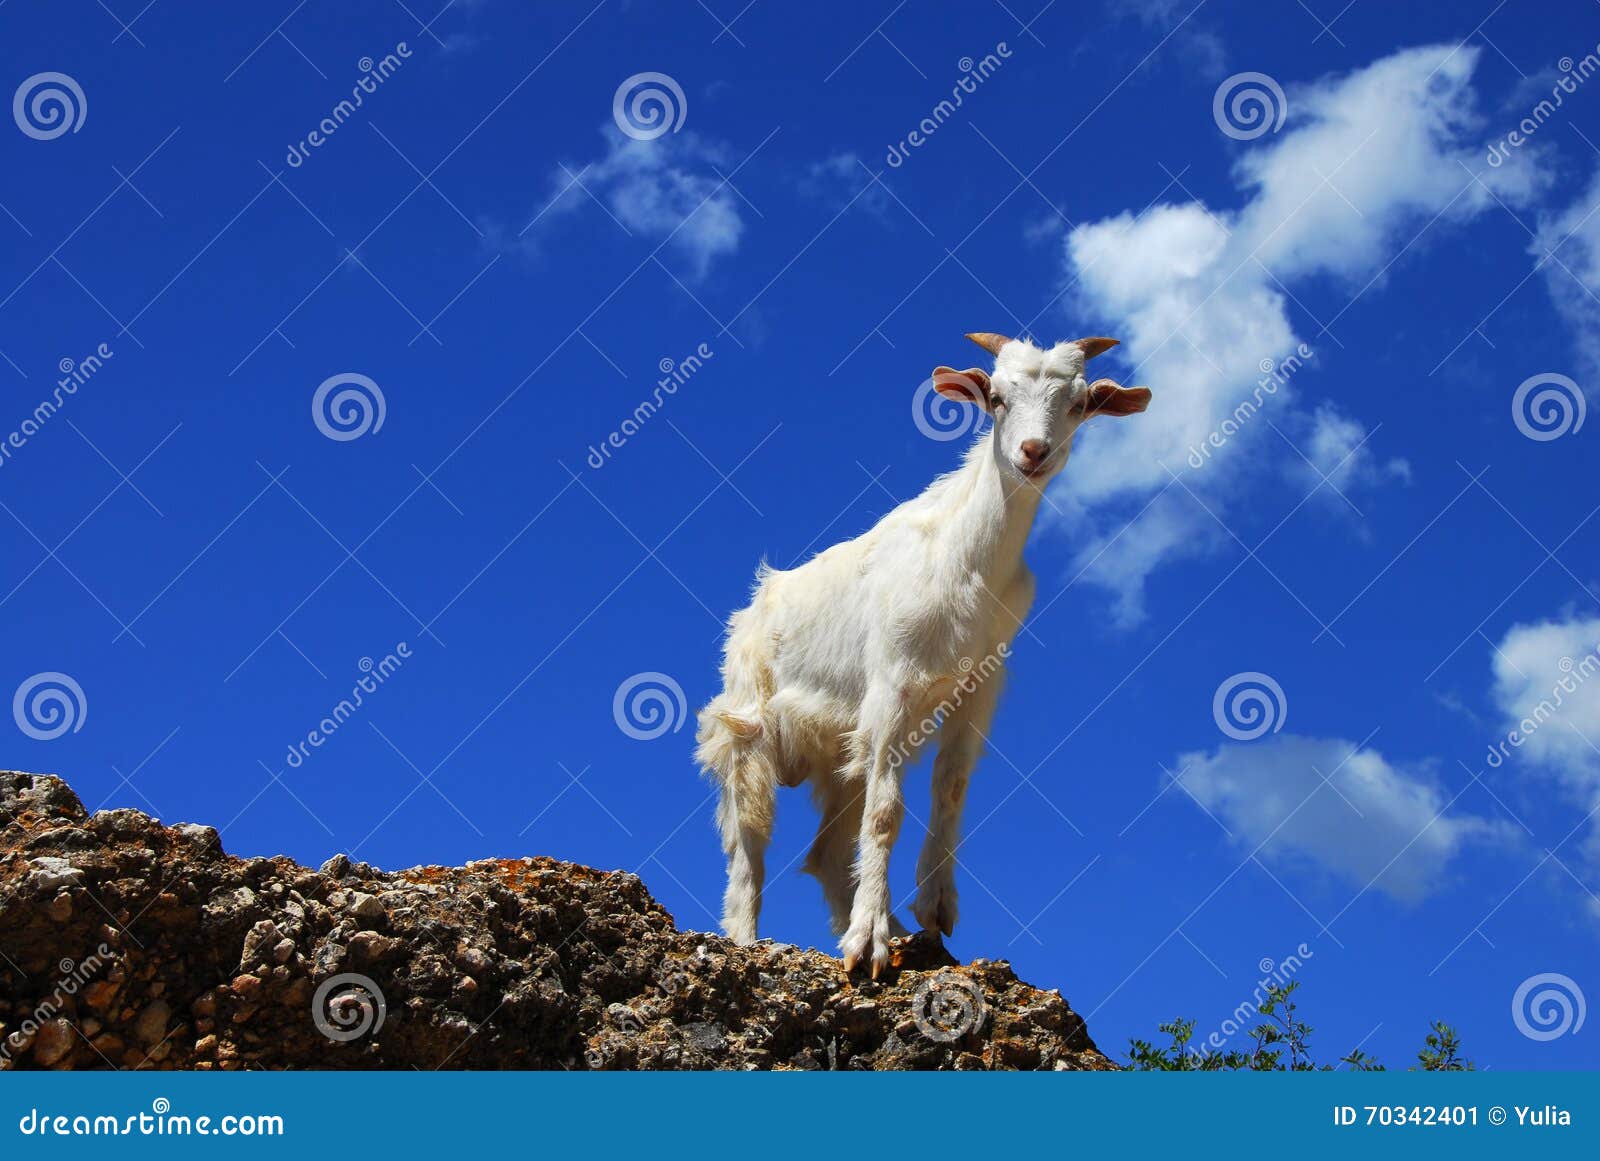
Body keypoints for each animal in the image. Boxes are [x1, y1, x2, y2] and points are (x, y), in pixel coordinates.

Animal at [696, 332, 1152, 975]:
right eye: (996, 398)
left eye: (1080, 403)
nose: (1033, 453)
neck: (966, 565)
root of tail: (748, 618)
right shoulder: (891, 686)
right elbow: (887, 813)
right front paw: (867, 944)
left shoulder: (977, 689)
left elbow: (950, 790)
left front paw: (932, 911)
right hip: (745, 732)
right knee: (748, 850)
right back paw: (747, 942)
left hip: (841, 750)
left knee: (827, 850)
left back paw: (880, 921)